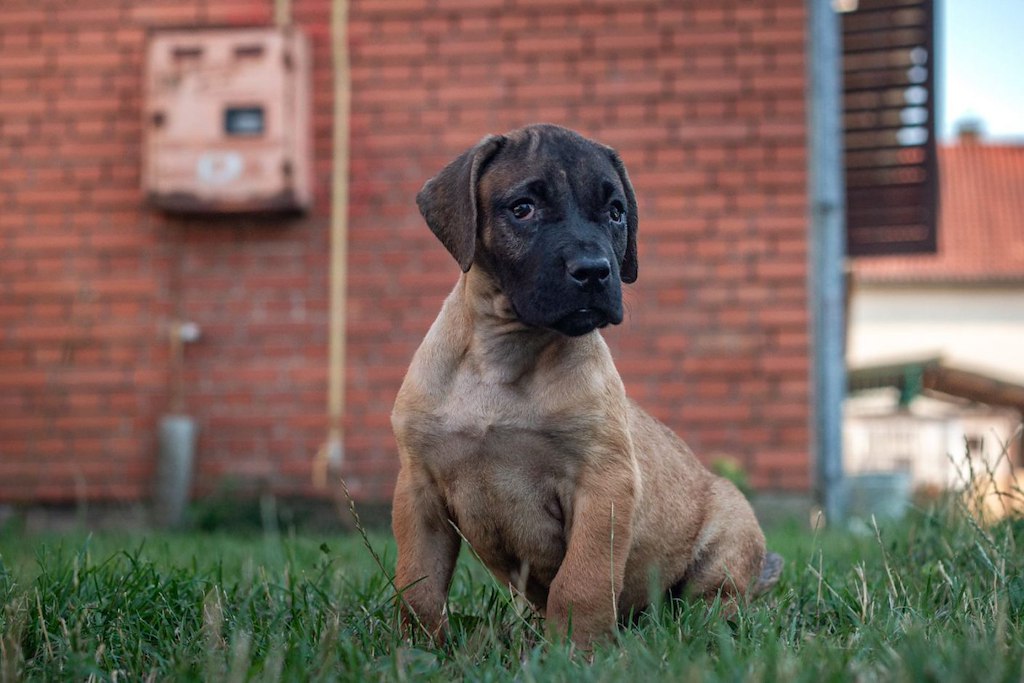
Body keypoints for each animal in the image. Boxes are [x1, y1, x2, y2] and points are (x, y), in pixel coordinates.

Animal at [393, 126, 782, 647]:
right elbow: (418, 585)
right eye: (523, 208)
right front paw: (415, 650)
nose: (595, 270)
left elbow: (582, 581)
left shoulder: (602, 485)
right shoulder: (419, 492)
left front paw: (576, 651)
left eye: (616, 212)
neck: (503, 356)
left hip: (728, 532)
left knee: (714, 597)